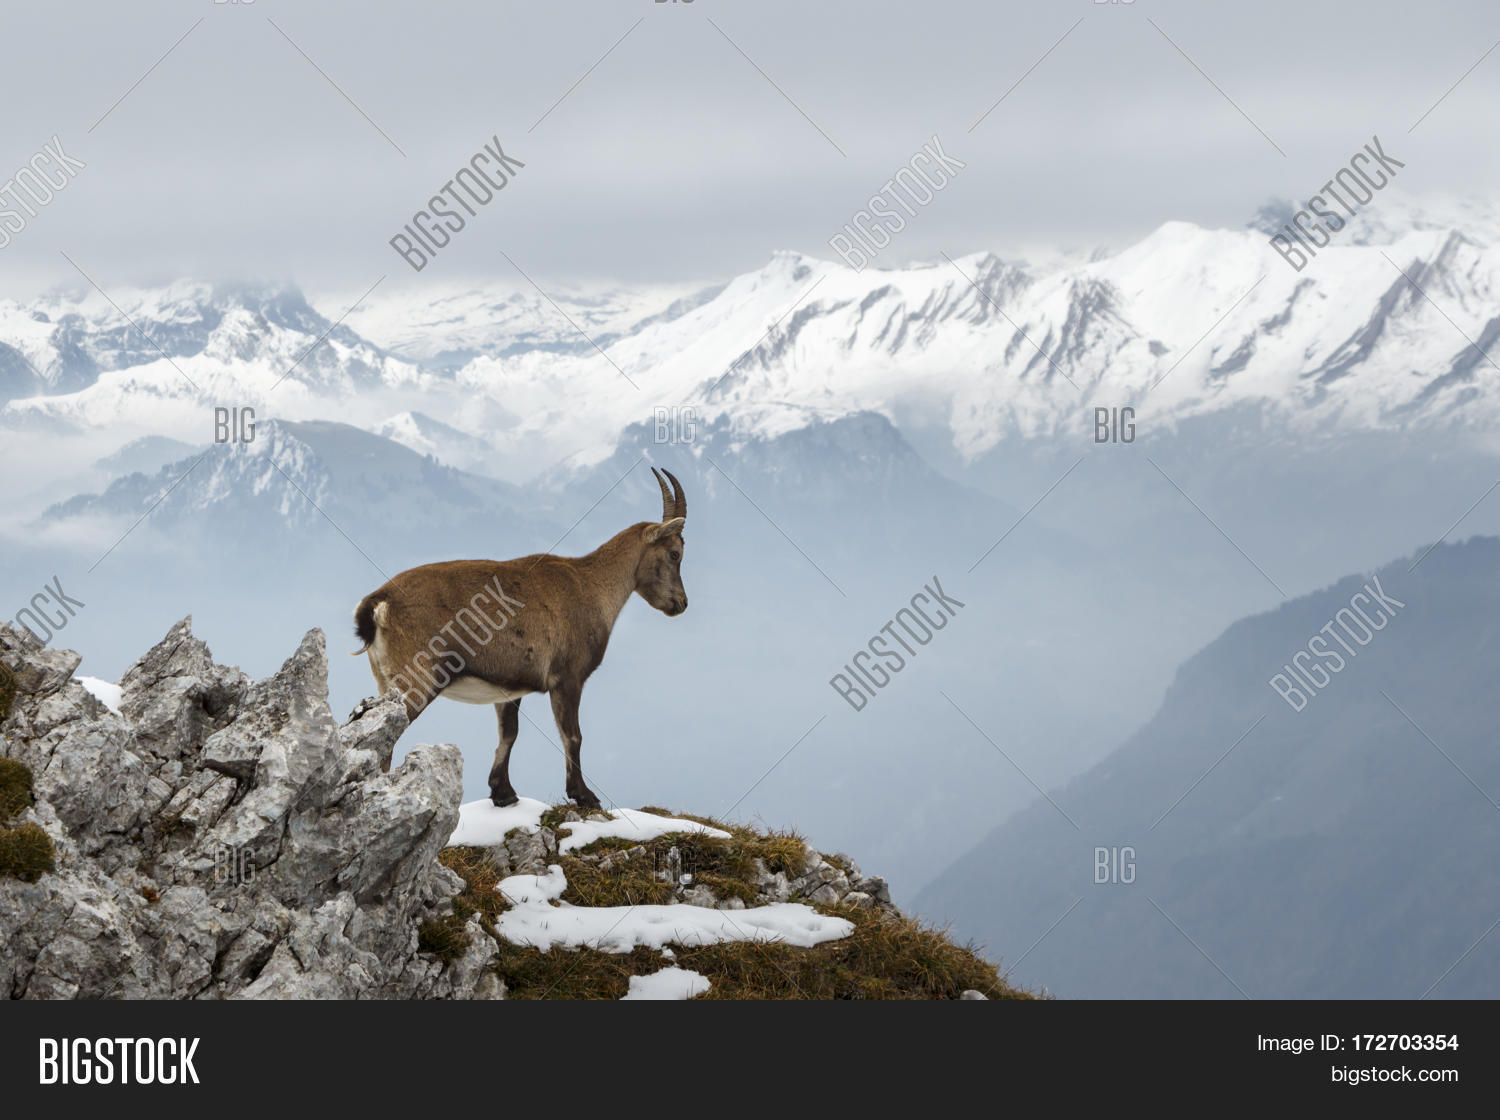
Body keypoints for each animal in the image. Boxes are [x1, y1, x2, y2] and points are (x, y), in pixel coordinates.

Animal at [352, 468, 688, 808]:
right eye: (675, 553)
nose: (681, 603)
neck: (593, 586)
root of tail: (378, 603)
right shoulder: (567, 677)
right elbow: (573, 735)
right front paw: (584, 795)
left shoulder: (509, 688)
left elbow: (508, 734)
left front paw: (503, 792)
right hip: (417, 678)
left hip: (384, 680)